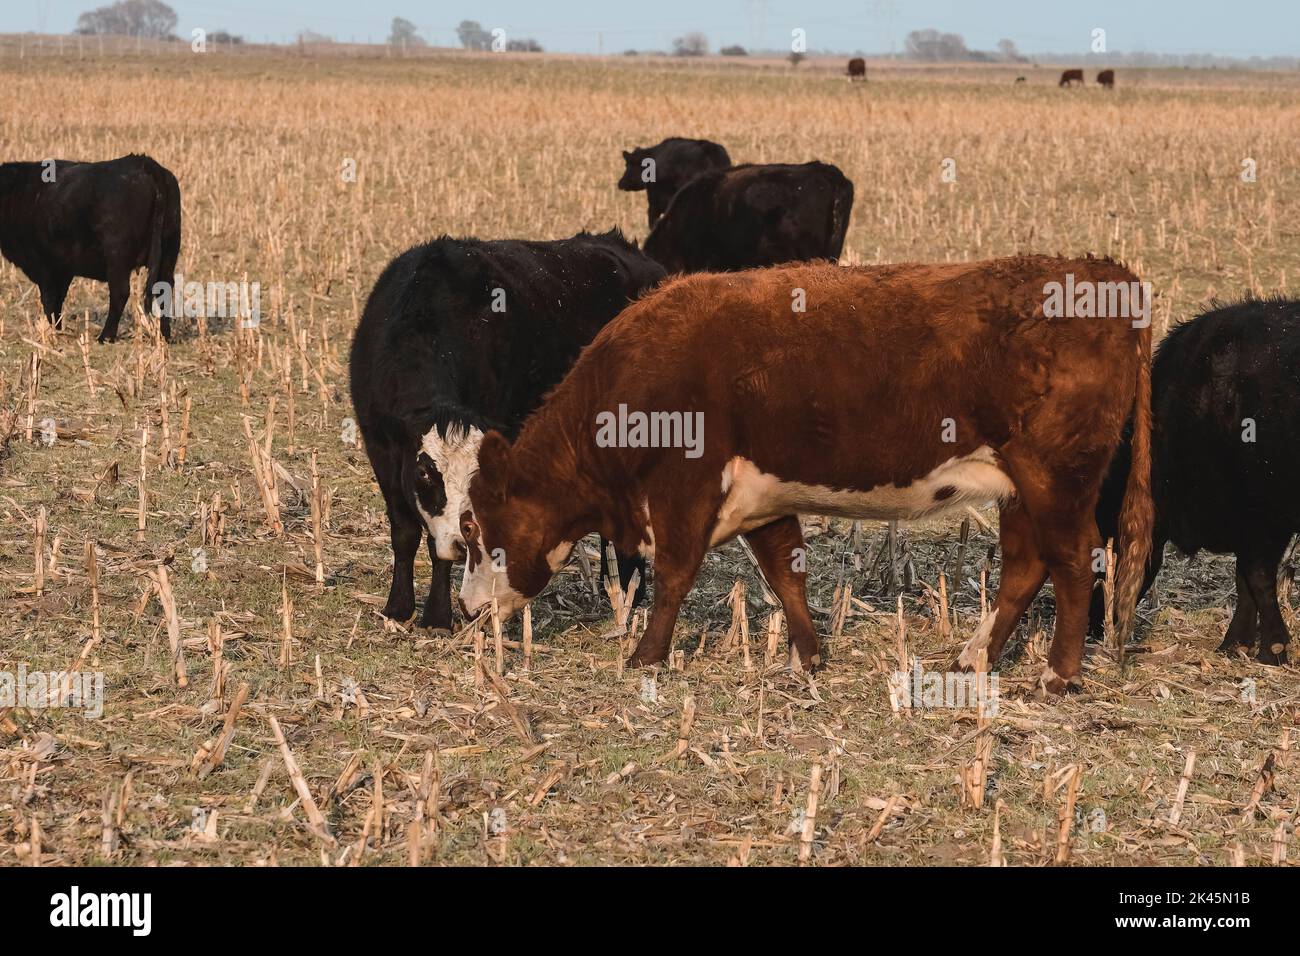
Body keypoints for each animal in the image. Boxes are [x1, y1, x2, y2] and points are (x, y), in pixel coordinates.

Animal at [0, 154, 181, 342]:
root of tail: (146, 164)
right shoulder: (63, 268)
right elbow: (58, 299)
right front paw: (58, 329)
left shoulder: (45, 265)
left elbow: (49, 299)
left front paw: (52, 332)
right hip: (169, 251)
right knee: (164, 290)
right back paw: (165, 336)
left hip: (117, 257)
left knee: (120, 292)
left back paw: (105, 336)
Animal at [348, 229, 665, 630]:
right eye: (425, 474)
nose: (460, 542)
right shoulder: (383, 451)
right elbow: (404, 533)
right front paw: (399, 609)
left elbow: (438, 552)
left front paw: (437, 617)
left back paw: (627, 590)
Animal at [457, 255, 1153, 695]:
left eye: (472, 530)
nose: (467, 610)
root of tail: (1110, 275)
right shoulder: (763, 500)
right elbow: (784, 572)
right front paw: (806, 656)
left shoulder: (686, 487)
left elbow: (675, 576)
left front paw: (645, 657)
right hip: (1020, 489)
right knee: (1025, 568)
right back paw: (973, 658)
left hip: (1056, 482)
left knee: (1075, 560)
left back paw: (1058, 675)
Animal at [1092, 298, 1300, 666]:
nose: (1093, 626)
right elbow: (1244, 580)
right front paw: (1237, 642)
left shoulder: (1265, 519)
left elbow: (1257, 578)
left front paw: (1273, 647)